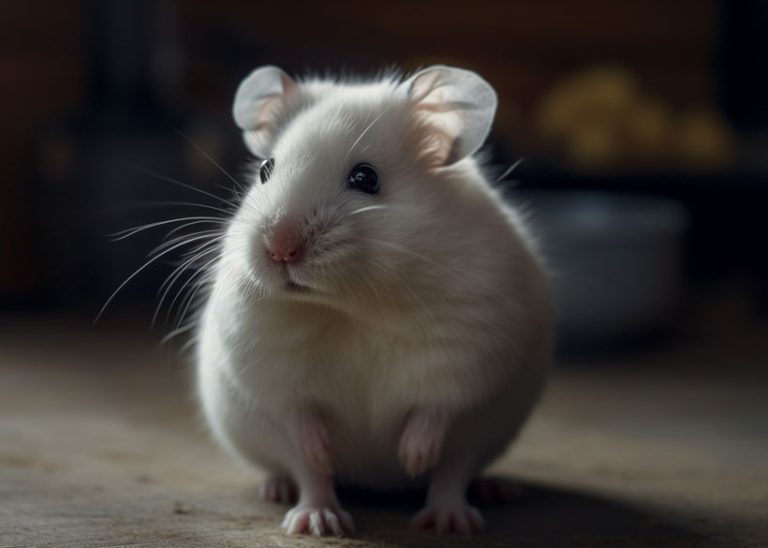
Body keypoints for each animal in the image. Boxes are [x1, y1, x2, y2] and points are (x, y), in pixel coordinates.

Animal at [195, 64, 552, 536]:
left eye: (366, 179)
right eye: (266, 171)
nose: (279, 250)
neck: (353, 304)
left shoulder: (468, 345)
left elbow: (438, 405)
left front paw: (412, 455)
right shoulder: (268, 361)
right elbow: (298, 419)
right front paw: (323, 450)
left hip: (478, 434)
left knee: (453, 470)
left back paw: (459, 514)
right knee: (307, 474)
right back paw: (309, 514)